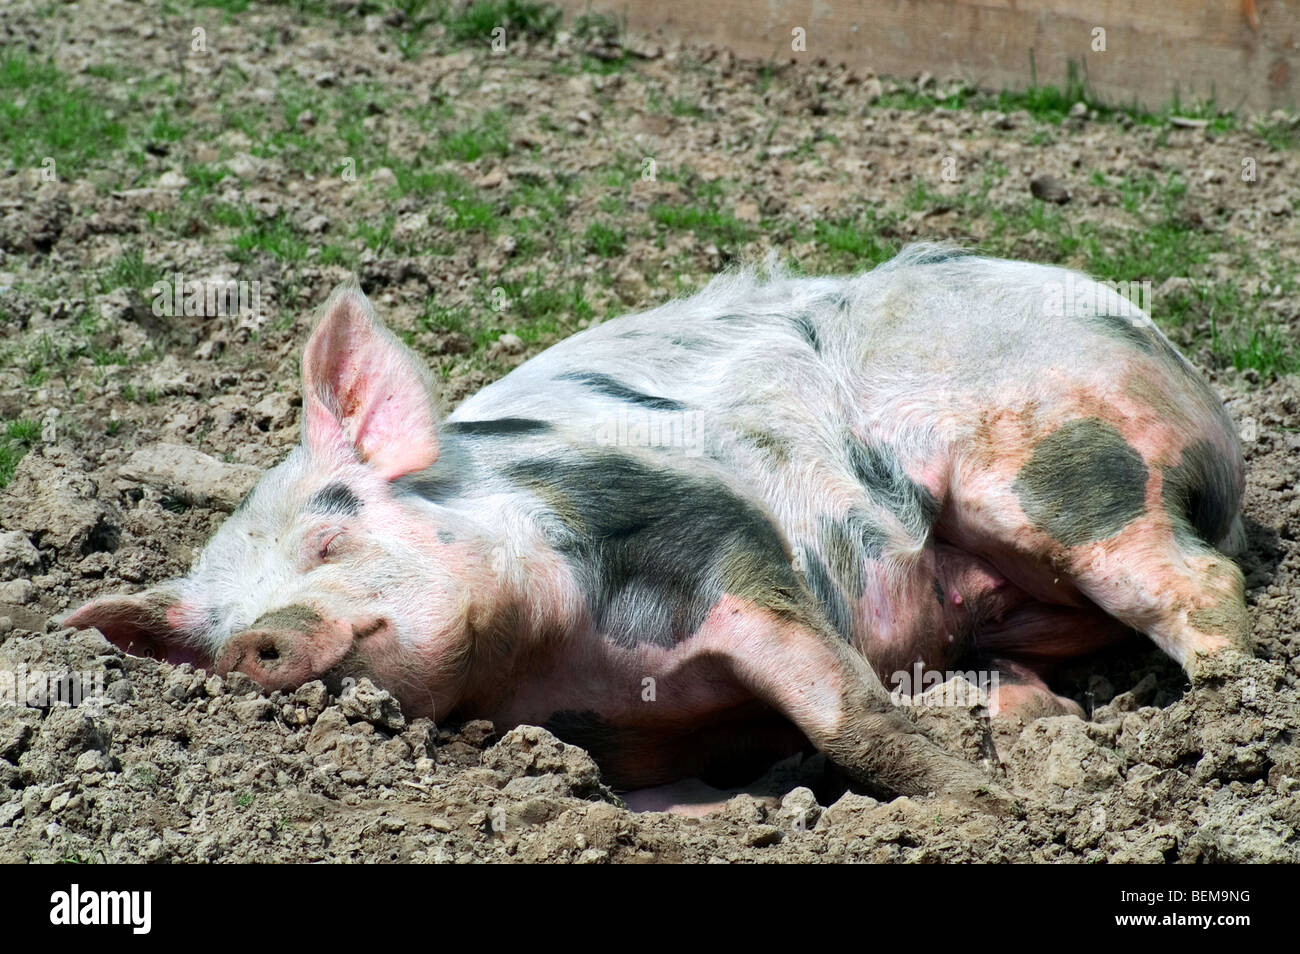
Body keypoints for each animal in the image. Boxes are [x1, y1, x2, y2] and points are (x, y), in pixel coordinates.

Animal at [65, 244, 1251, 808]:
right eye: (223, 636)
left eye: (330, 536)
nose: (262, 642)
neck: (563, 660)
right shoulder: (621, 743)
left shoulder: (712, 537)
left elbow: (845, 709)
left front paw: (982, 811)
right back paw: (1042, 722)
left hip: (1060, 458)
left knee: (1195, 585)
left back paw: (1229, 704)